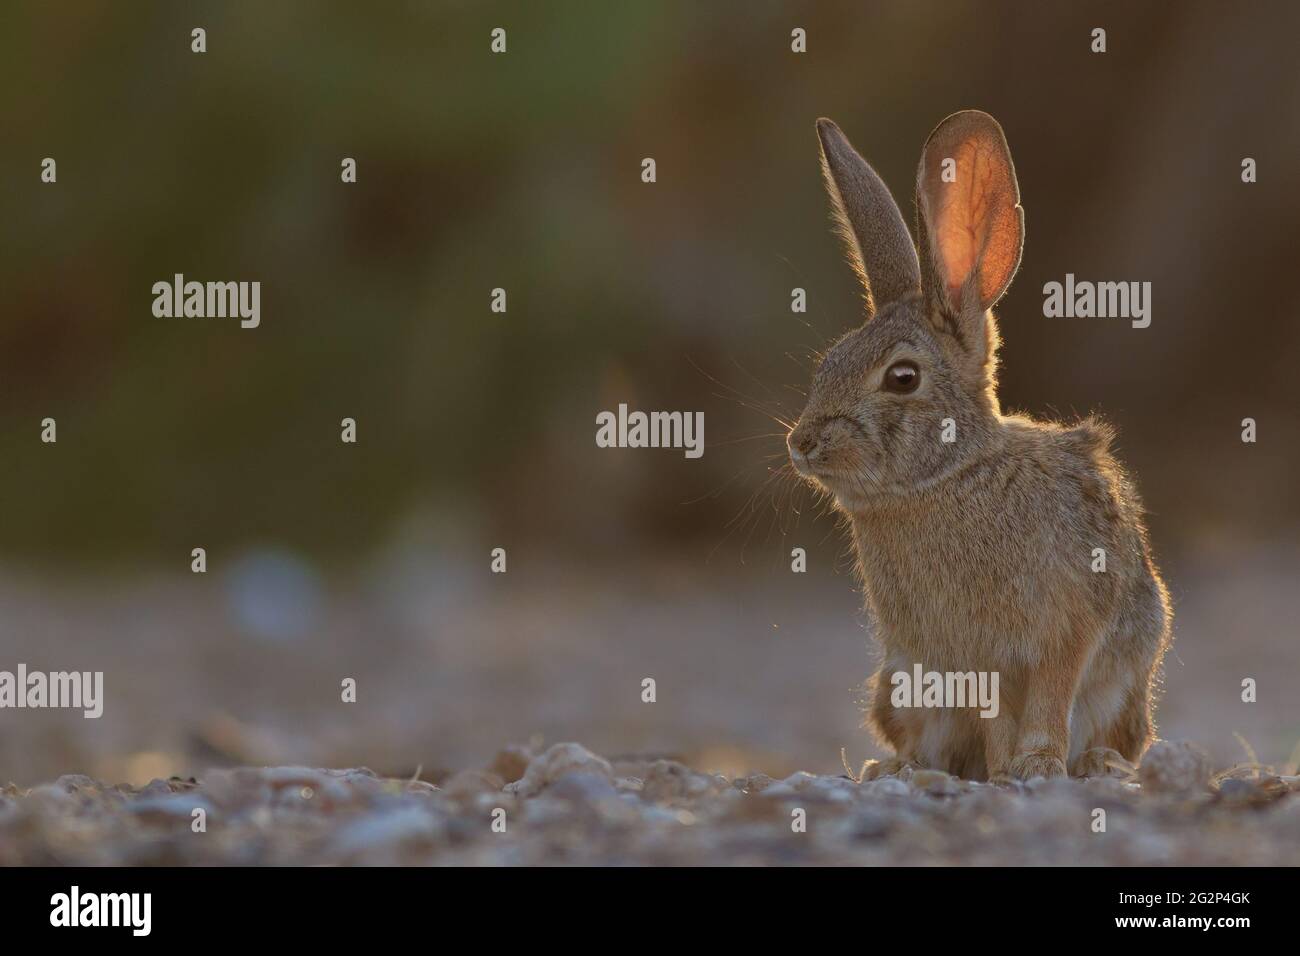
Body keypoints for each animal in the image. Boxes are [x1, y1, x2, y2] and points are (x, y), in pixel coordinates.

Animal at [788, 111, 1172, 781]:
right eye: (828, 362)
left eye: (902, 377)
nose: (802, 442)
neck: (949, 477)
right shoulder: (970, 661)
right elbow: (994, 718)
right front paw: (1001, 772)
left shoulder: (1065, 631)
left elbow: (1050, 696)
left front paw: (1037, 765)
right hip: (900, 682)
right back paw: (896, 769)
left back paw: (1101, 764)